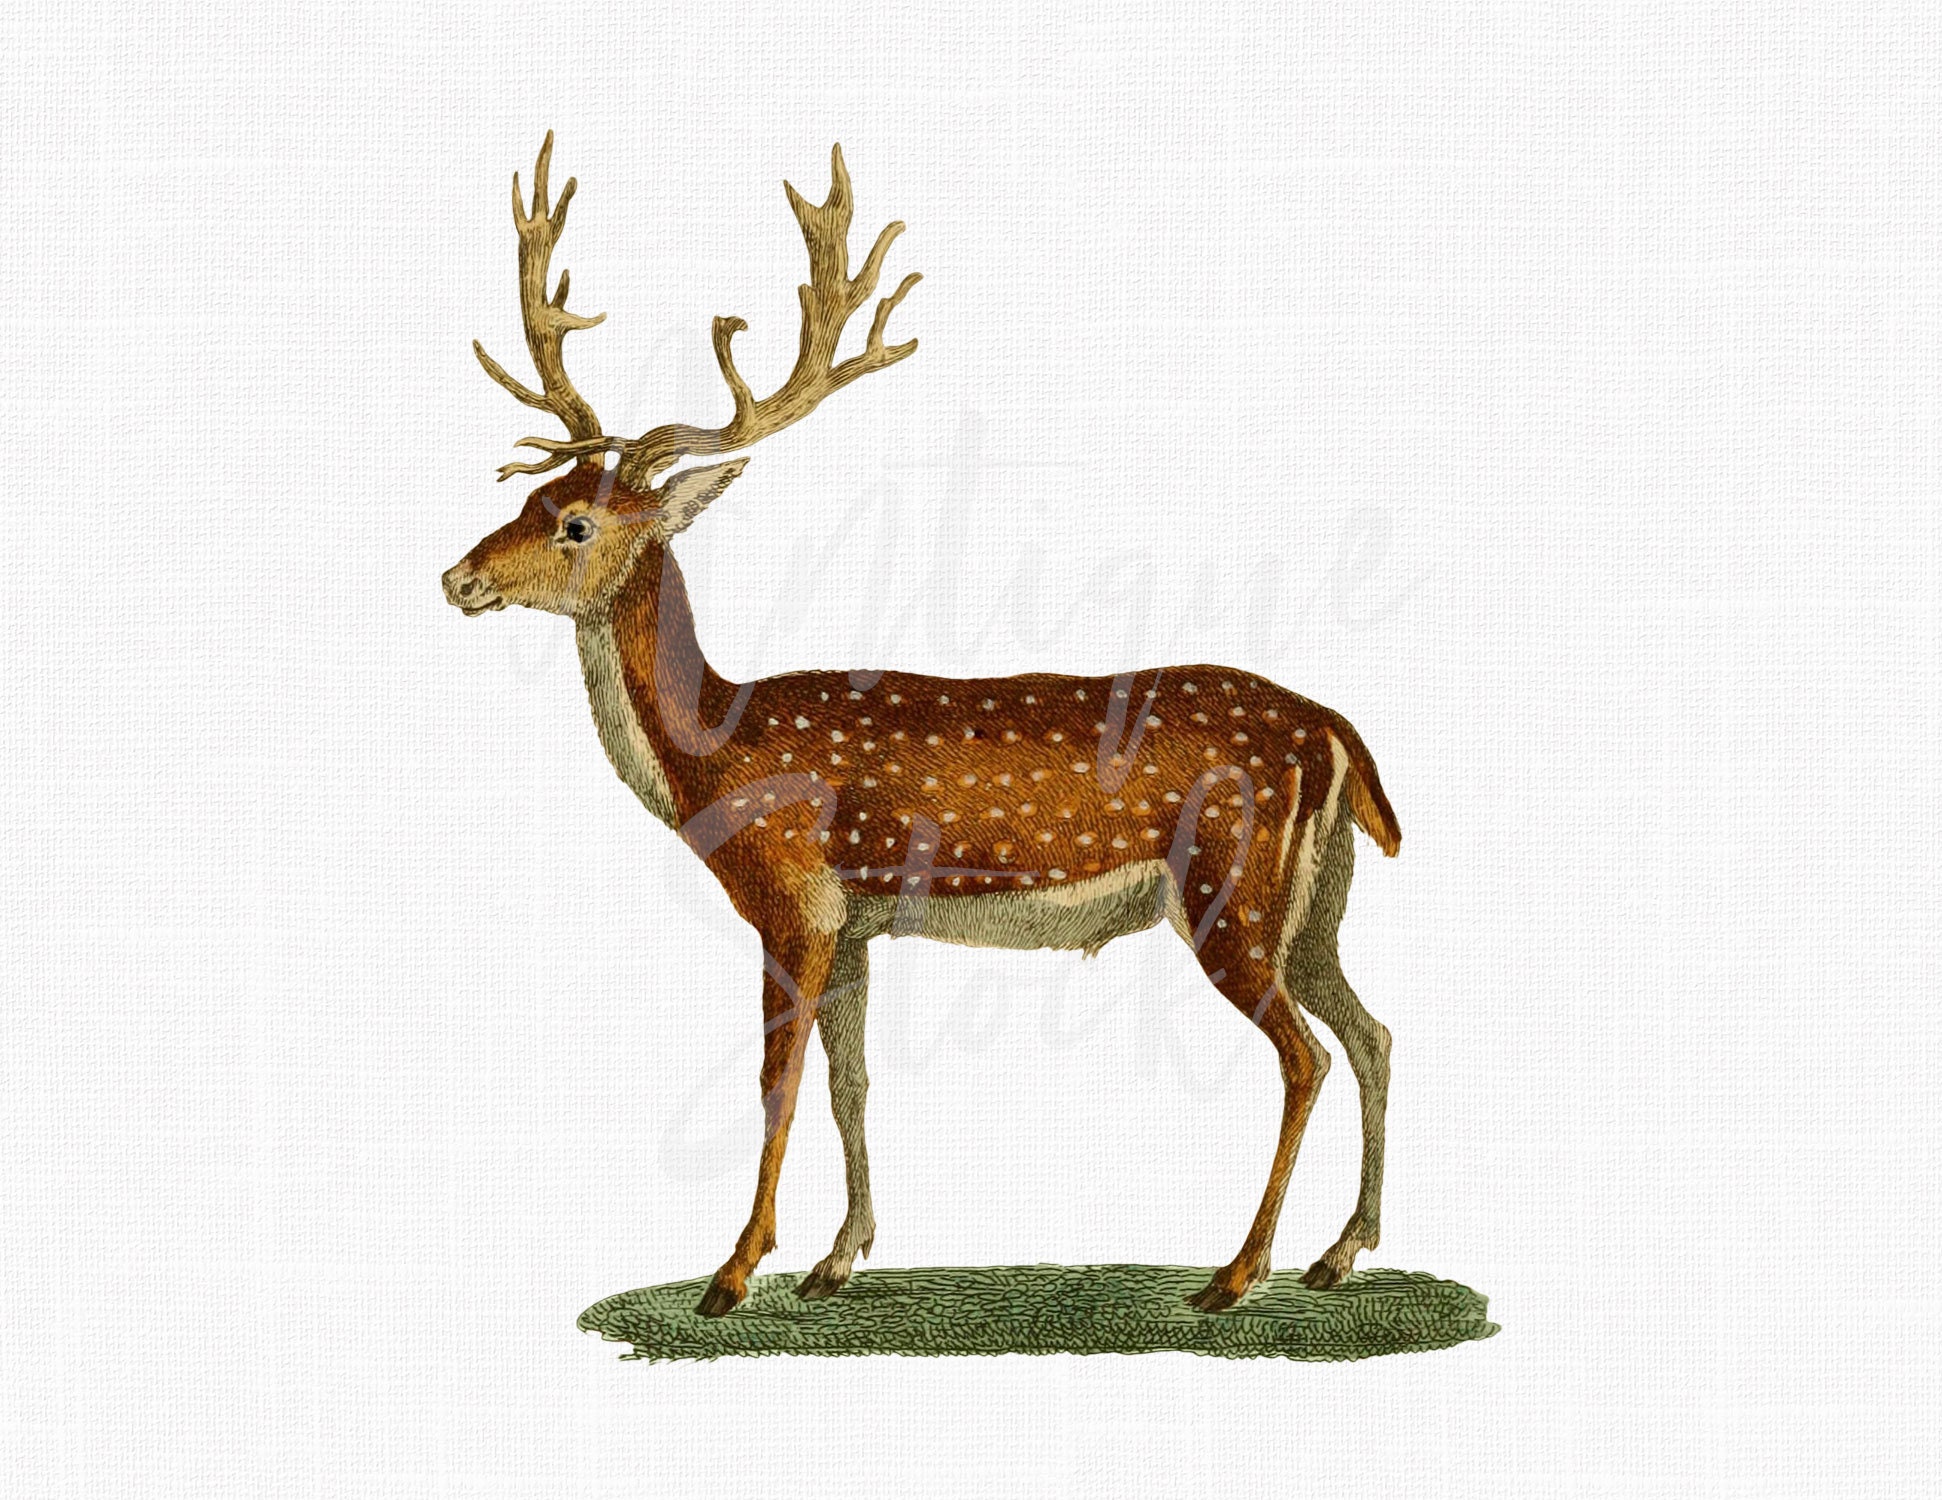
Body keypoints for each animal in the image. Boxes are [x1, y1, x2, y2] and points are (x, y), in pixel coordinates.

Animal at [442, 135, 1403, 1318]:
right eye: (531, 500)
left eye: (574, 525)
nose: (458, 577)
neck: (717, 754)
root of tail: (1339, 735)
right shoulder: (855, 925)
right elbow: (852, 1079)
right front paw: (838, 1256)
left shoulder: (794, 898)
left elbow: (777, 1080)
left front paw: (734, 1272)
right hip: (1315, 903)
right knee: (1373, 1031)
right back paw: (1339, 1251)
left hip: (1232, 886)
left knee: (1306, 1055)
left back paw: (1238, 1272)